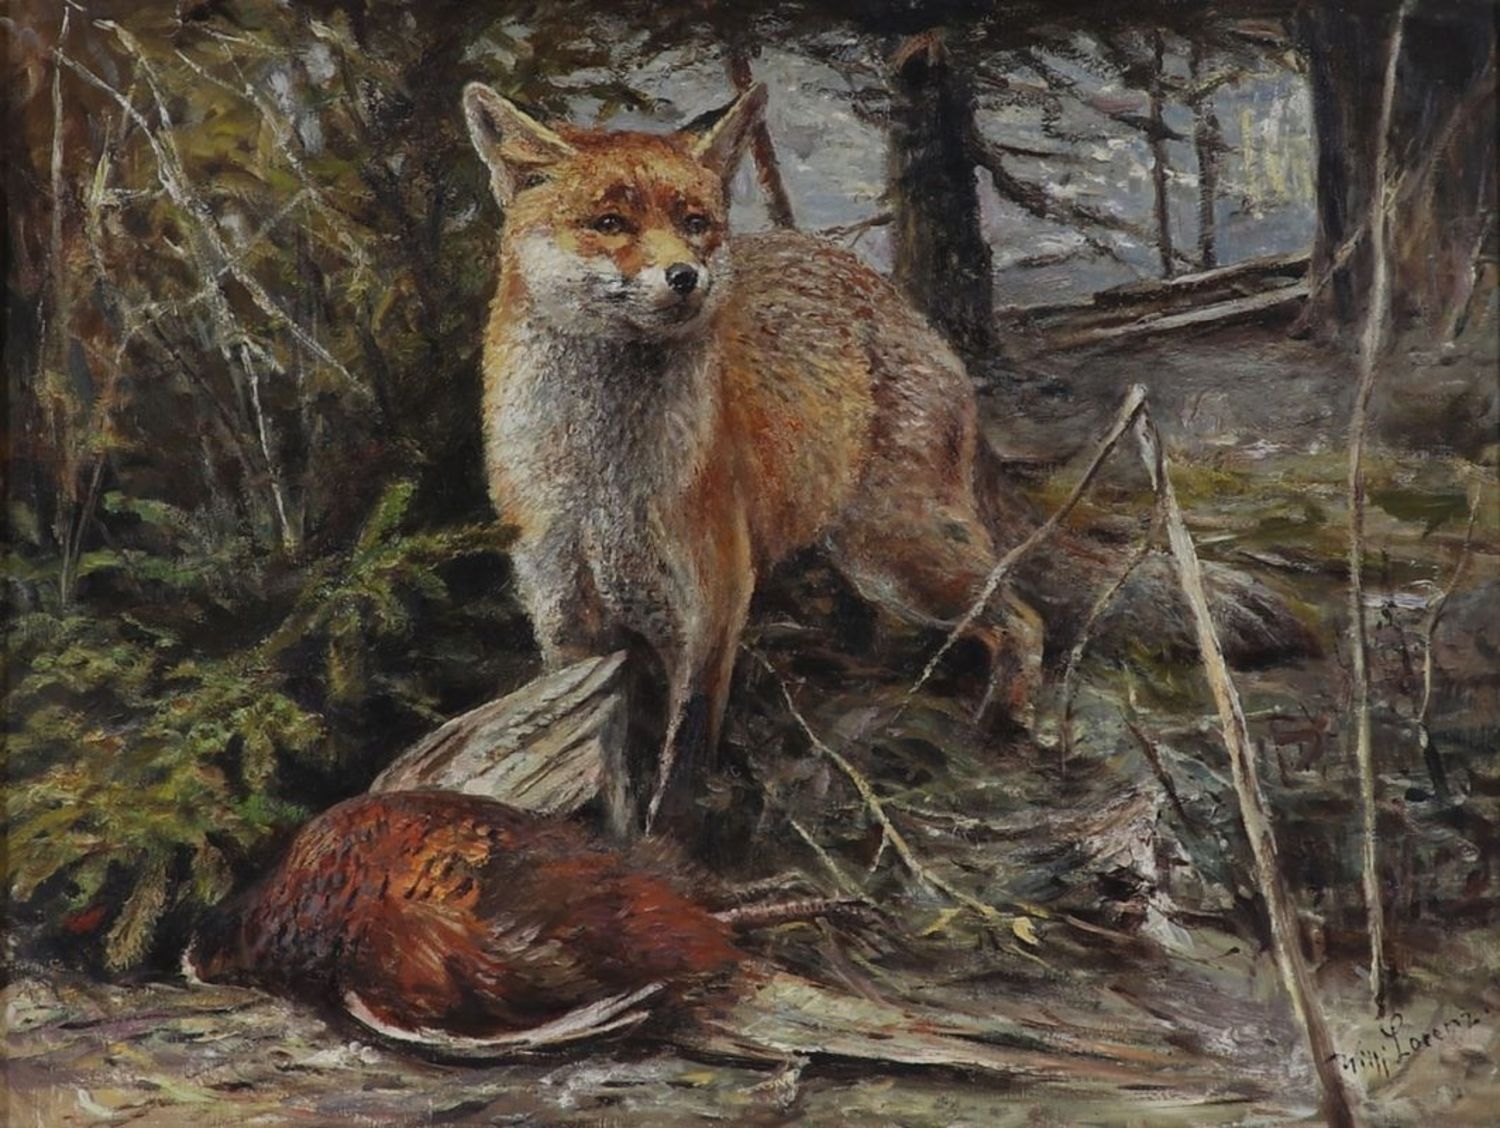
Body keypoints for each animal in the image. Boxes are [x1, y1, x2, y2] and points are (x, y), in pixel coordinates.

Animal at [463, 80, 1042, 838]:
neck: (599, 482)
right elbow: (607, 767)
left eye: (696, 222)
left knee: (1021, 622)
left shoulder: (711, 605)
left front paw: (673, 850)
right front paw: (614, 840)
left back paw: (1000, 733)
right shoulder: (570, 627)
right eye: (611, 222)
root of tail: (893, 302)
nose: (686, 277)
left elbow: (682, 760)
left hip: (902, 556)